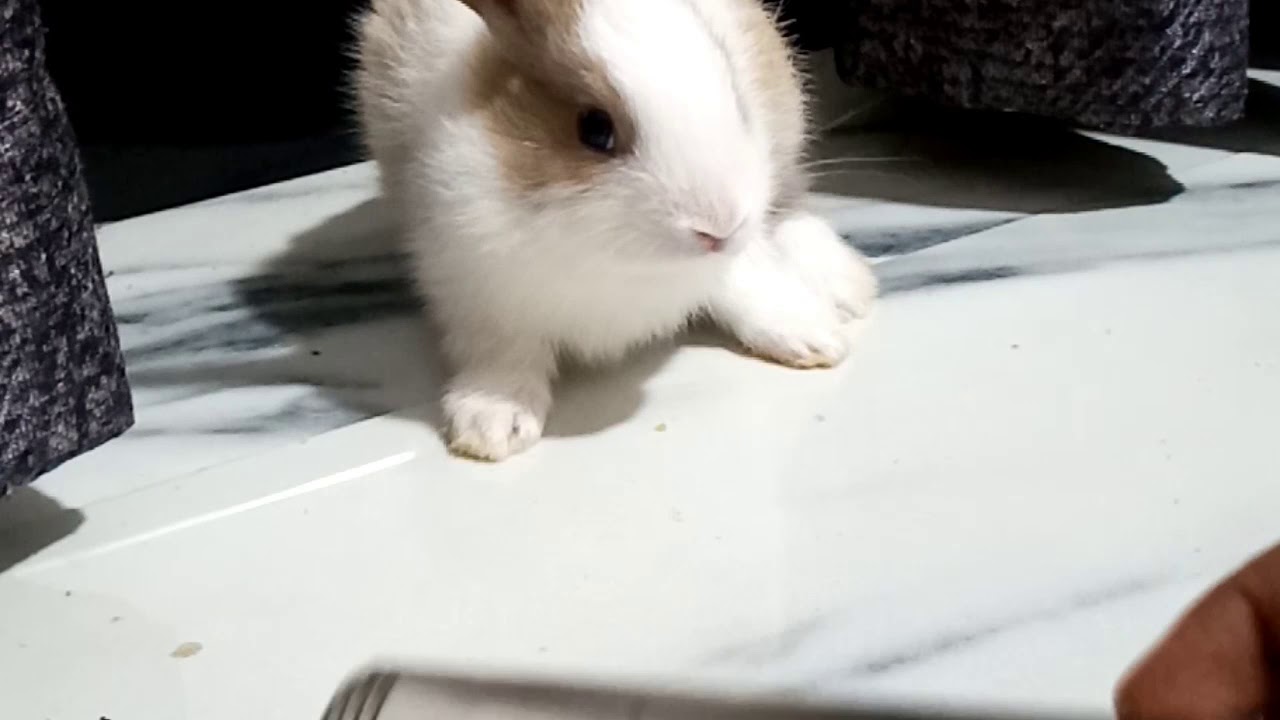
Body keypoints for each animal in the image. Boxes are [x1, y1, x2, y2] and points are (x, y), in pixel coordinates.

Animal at [354, 0, 878, 461]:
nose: (720, 227)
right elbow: (503, 353)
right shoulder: (472, 284)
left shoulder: (736, 255)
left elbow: (747, 283)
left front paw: (813, 338)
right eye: (594, 129)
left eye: (733, 91)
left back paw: (848, 285)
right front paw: (493, 424)